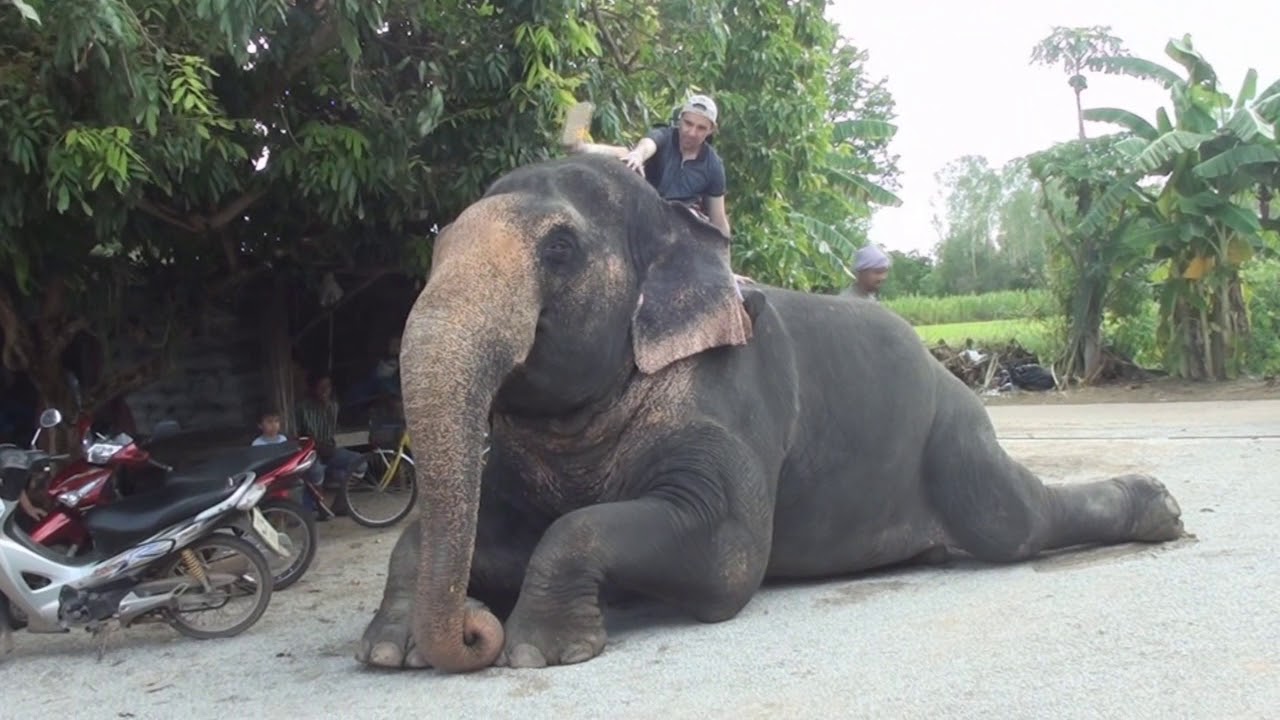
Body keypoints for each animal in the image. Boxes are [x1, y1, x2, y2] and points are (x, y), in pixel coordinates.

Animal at [355, 153, 1185, 673]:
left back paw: (1161, 509)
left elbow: (725, 554)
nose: (476, 632)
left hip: (953, 434)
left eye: (559, 249)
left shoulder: (732, 402)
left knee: (1010, 521)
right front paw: (391, 652)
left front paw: (541, 652)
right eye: (438, 248)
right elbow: (460, 537)